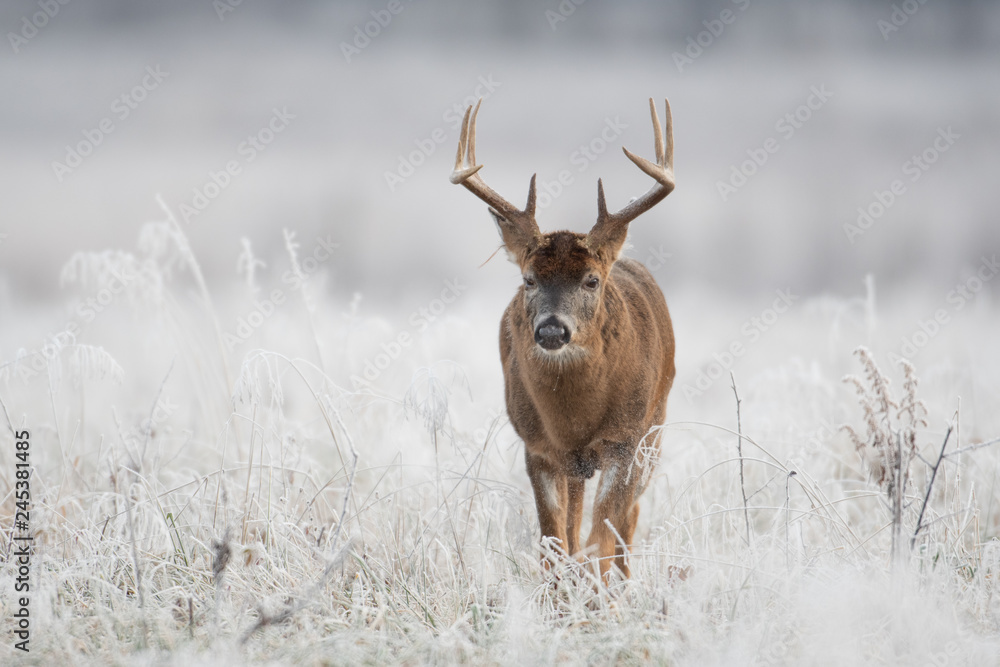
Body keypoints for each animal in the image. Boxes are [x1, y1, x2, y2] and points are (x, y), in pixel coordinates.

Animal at [450, 98, 676, 580]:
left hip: (655, 429)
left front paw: (598, 594)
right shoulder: (538, 447)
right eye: (529, 279)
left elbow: (601, 540)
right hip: (577, 464)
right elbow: (555, 544)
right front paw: (562, 596)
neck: (575, 418)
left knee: (628, 520)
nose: (552, 329)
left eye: (592, 280)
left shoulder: (625, 440)